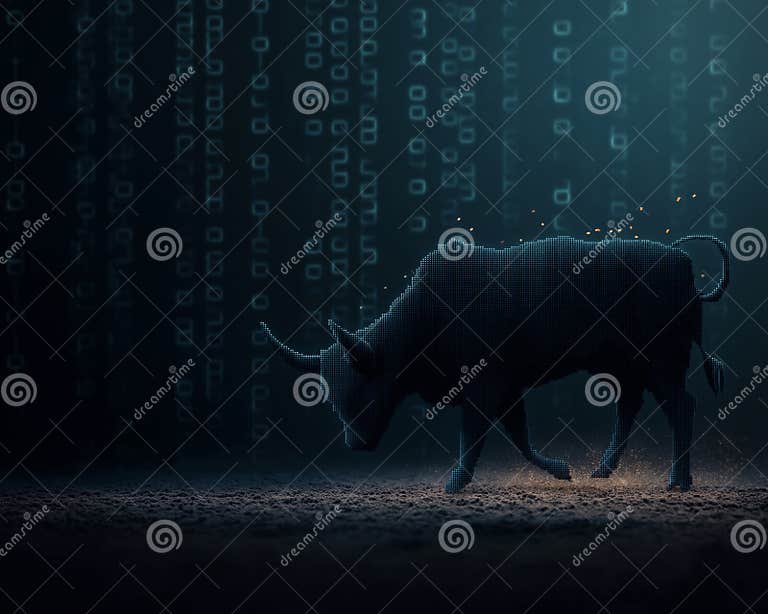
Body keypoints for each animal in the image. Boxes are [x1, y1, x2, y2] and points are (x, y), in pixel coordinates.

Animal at [263, 235, 729, 493]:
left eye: (361, 386)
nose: (354, 444)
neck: (427, 315)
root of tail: (682, 263)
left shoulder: (484, 386)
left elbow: (475, 435)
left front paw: (454, 483)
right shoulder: (506, 390)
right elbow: (518, 436)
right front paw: (562, 471)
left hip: (660, 364)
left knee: (680, 407)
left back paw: (677, 481)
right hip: (627, 367)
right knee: (629, 408)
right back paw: (601, 471)